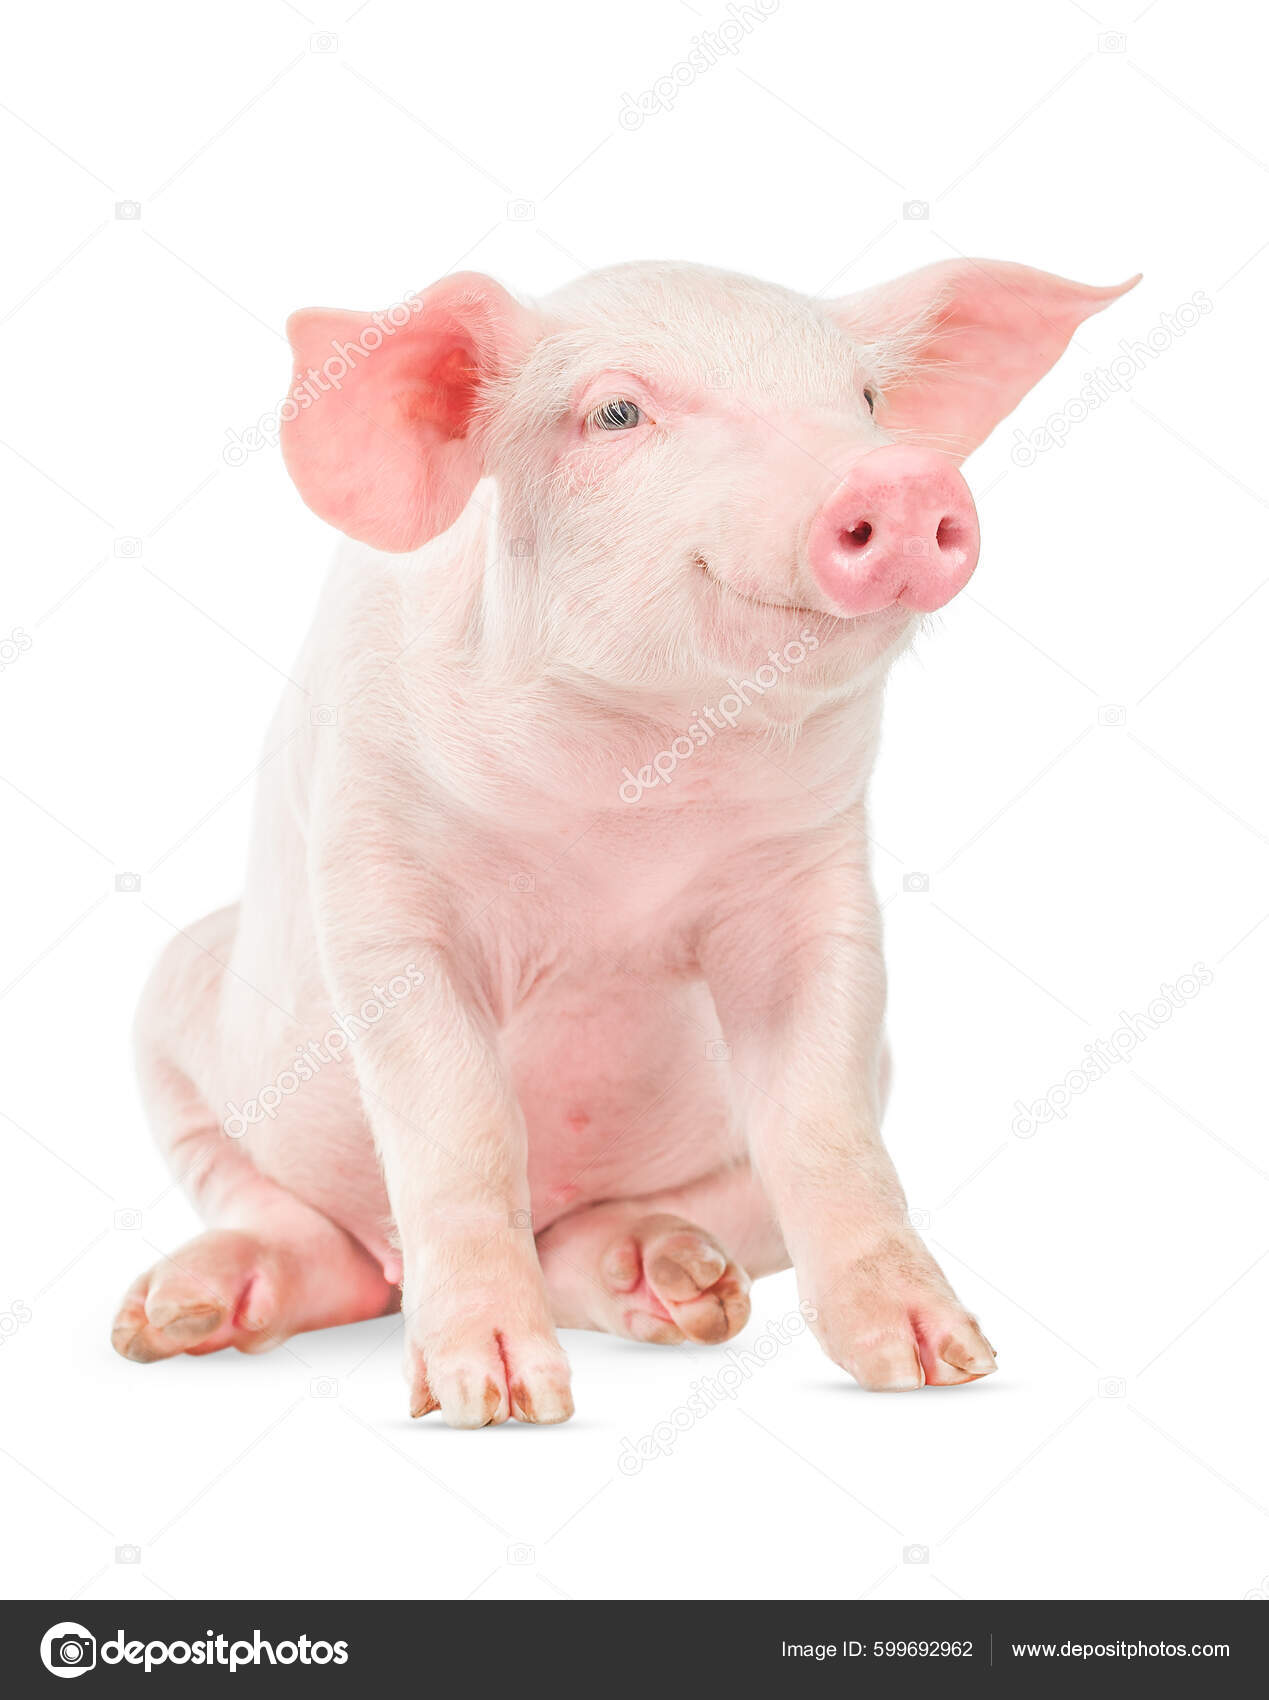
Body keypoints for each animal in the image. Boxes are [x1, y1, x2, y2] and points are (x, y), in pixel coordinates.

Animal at [113, 257, 1136, 1425]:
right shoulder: (376, 864)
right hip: (176, 991)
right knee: (294, 1221)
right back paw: (174, 1317)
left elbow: (822, 1117)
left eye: (867, 400)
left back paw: (680, 1284)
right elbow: (460, 1117)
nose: (901, 480)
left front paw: (943, 1363)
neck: (630, 799)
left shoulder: (813, 884)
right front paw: (497, 1400)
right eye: (615, 412)